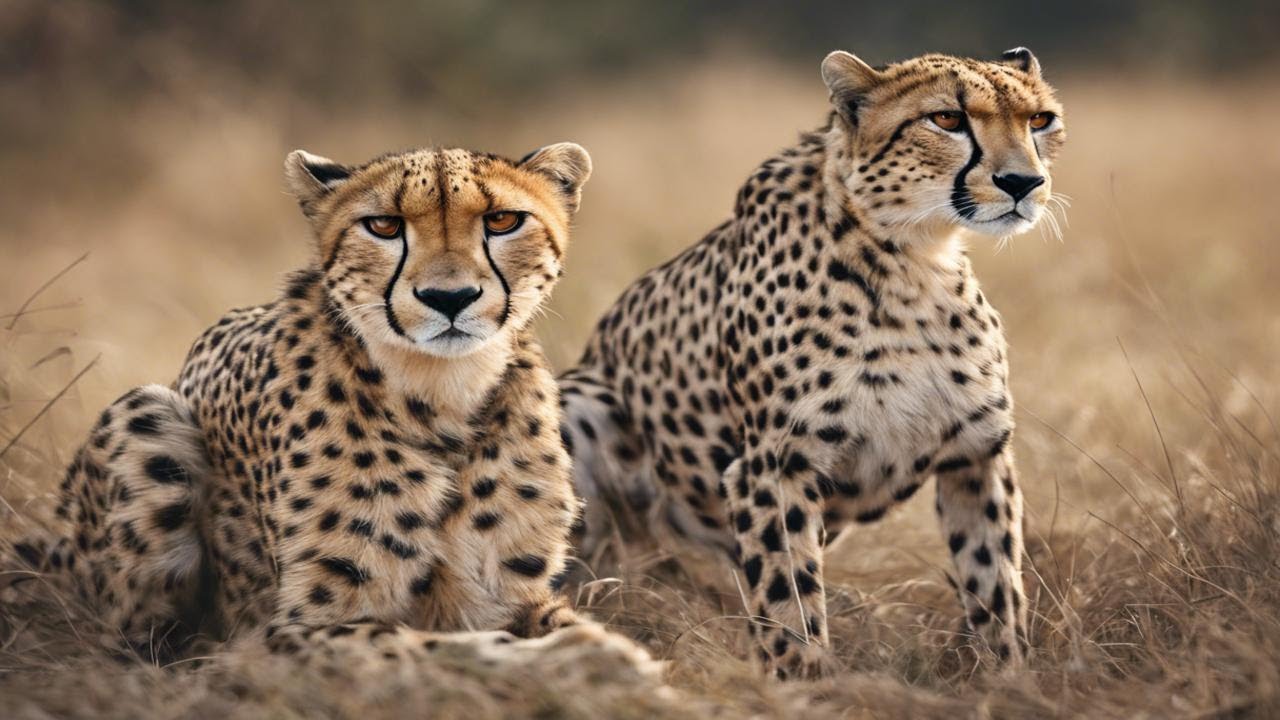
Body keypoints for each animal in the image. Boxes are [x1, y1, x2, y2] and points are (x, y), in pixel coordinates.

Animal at [8, 141, 653, 672]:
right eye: (384, 225)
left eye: (502, 220)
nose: (449, 298)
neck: (443, 394)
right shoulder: (295, 629)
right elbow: (427, 647)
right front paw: (588, 663)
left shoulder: (509, 597)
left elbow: (553, 622)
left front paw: (613, 657)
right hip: (146, 416)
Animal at [559, 48, 1066, 678]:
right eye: (947, 119)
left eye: (1040, 120)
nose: (1023, 182)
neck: (917, 260)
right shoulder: (774, 468)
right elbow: (787, 595)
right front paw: (808, 683)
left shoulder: (975, 457)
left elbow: (995, 583)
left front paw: (1009, 676)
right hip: (578, 403)